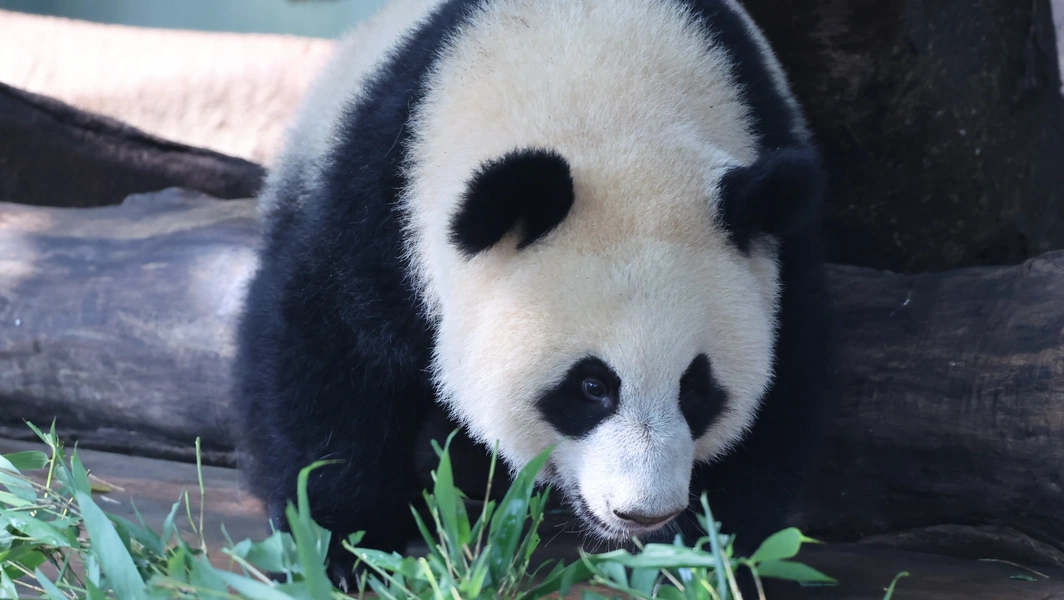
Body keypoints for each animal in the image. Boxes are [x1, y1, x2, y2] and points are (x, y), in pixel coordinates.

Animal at [234, 0, 835, 591]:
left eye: (696, 389)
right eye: (592, 387)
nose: (641, 512)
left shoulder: (775, 234)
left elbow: (784, 396)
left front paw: (714, 560)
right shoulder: (386, 193)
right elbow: (332, 351)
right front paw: (342, 549)